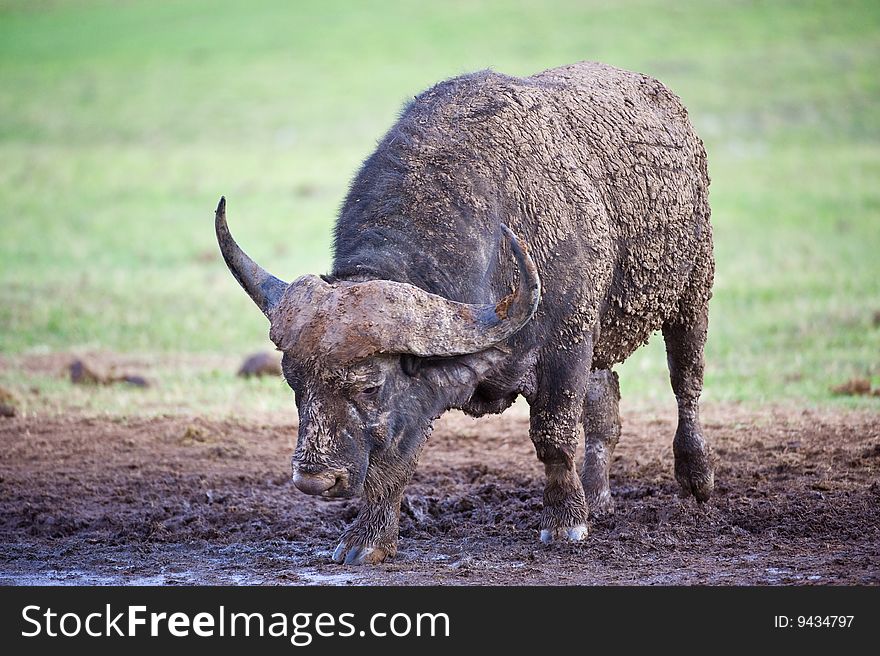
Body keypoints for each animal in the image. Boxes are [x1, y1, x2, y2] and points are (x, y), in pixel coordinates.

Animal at [215, 60, 716, 564]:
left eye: (369, 386)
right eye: (293, 382)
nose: (314, 480)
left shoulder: (568, 342)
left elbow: (553, 434)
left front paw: (564, 522)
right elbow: (393, 461)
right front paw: (367, 538)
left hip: (694, 290)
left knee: (686, 381)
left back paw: (696, 477)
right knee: (605, 407)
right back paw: (597, 498)